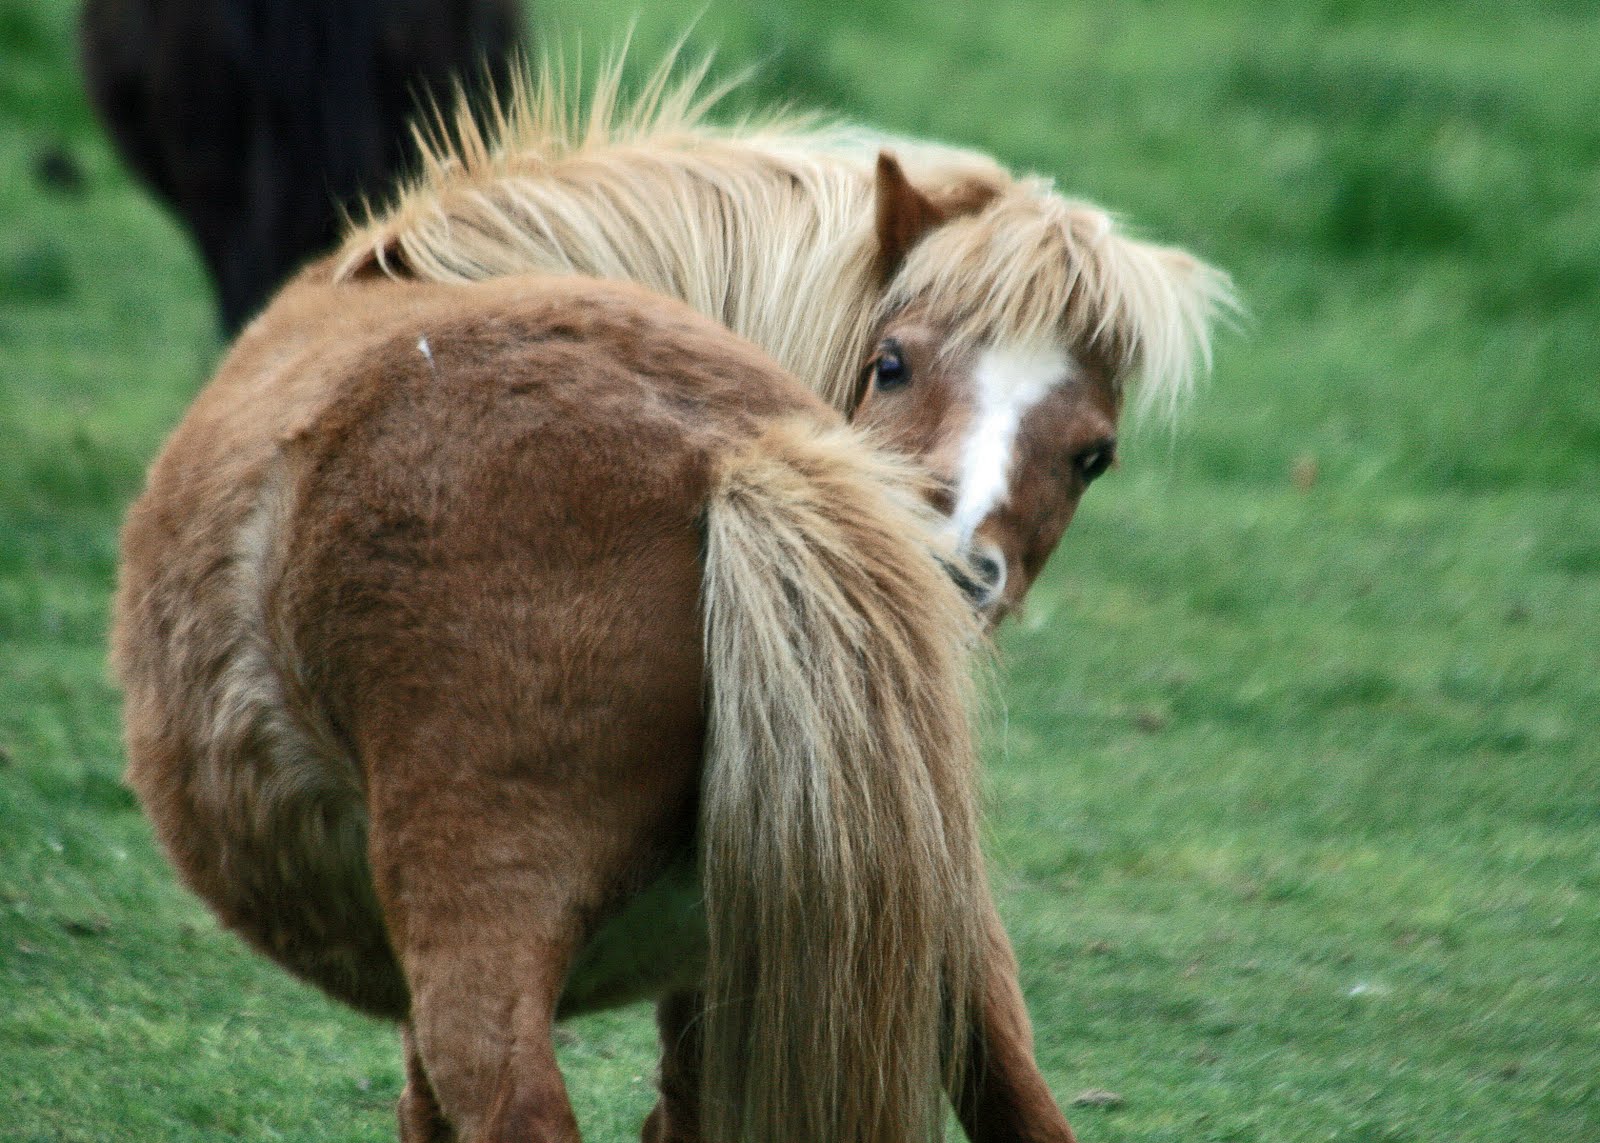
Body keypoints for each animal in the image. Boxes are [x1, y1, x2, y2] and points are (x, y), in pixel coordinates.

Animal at [113, 57, 1233, 1143]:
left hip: (480, 913)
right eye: (892, 363)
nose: (956, 570)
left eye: (1091, 456)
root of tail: (732, 452)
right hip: (939, 910)